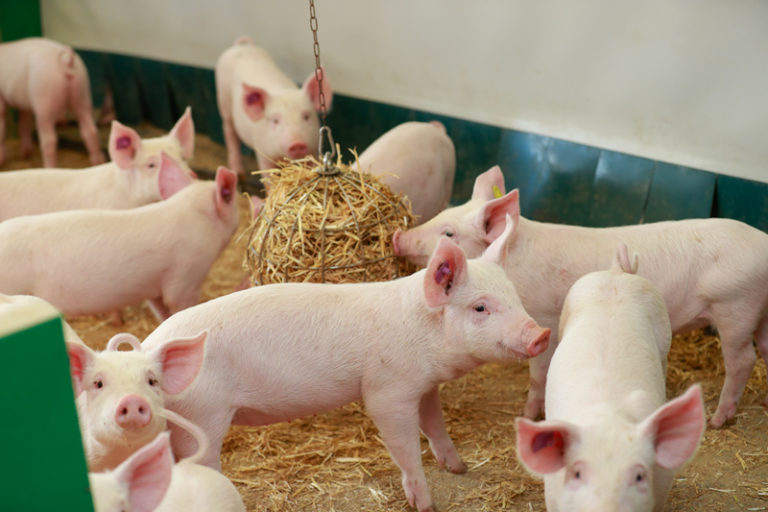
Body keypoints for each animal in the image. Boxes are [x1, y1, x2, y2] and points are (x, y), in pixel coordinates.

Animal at [0, 37, 105, 167]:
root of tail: (66, 60)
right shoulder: (25, 105)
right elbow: (24, 124)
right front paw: (26, 154)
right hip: (82, 91)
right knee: (90, 130)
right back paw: (98, 162)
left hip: (45, 99)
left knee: (49, 141)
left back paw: (48, 167)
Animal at [141, 221, 550, 512]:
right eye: (480, 307)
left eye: (514, 297)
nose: (542, 334)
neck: (423, 331)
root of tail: (147, 352)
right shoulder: (387, 392)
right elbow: (405, 448)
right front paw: (428, 505)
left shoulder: (425, 386)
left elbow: (435, 425)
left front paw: (459, 468)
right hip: (201, 418)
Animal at [215, 36, 333, 176]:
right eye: (275, 120)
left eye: (306, 116)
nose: (297, 142)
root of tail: (241, 46)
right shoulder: (263, 153)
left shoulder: (313, 149)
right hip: (223, 101)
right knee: (230, 132)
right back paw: (238, 171)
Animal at [393, 165, 768, 428]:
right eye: (443, 214)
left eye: (448, 232)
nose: (398, 236)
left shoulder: (544, 319)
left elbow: (538, 373)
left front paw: (527, 414)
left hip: (735, 307)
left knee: (743, 360)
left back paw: (718, 420)